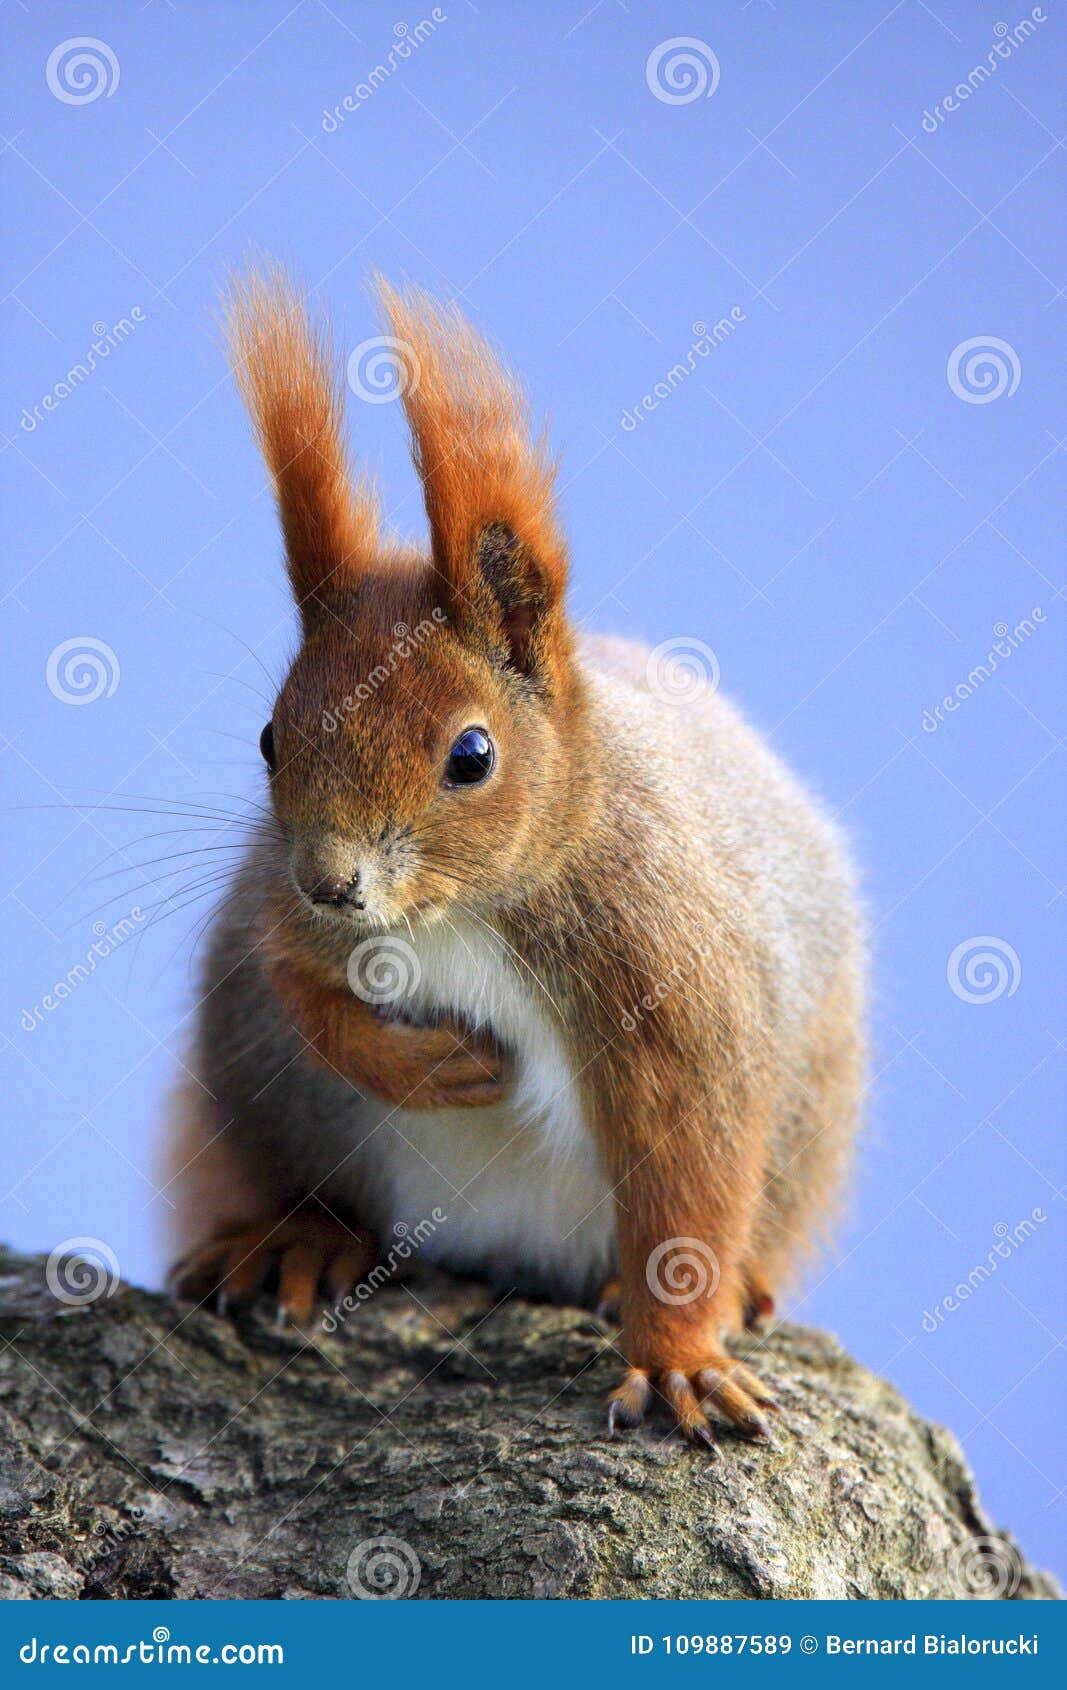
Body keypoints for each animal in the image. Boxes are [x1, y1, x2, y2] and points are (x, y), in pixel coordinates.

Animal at [165, 262, 866, 1448]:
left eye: (471, 754)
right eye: (268, 737)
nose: (331, 882)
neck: (458, 912)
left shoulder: (664, 963)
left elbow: (690, 1158)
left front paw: (681, 1359)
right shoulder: (279, 920)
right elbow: (301, 985)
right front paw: (429, 1065)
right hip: (255, 1073)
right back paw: (299, 1238)